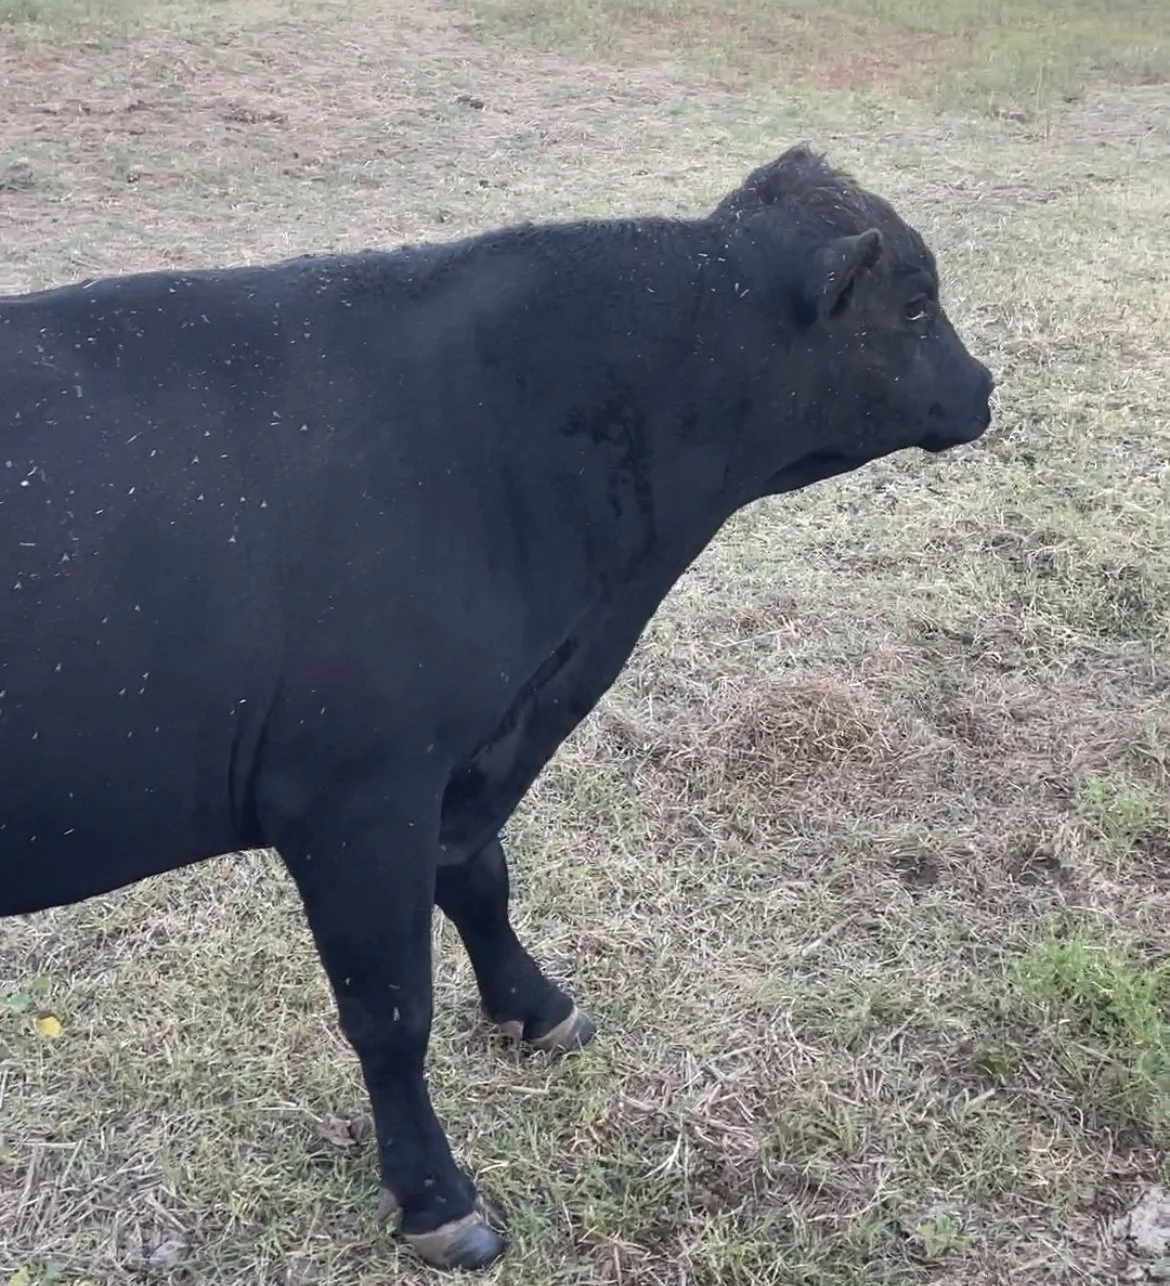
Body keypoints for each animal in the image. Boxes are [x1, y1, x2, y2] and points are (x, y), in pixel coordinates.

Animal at [0, 144, 993, 1270]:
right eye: (915, 304)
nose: (984, 387)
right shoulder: (357, 794)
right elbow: (390, 1012)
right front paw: (437, 1196)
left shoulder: (471, 756)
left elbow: (482, 881)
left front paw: (537, 1007)